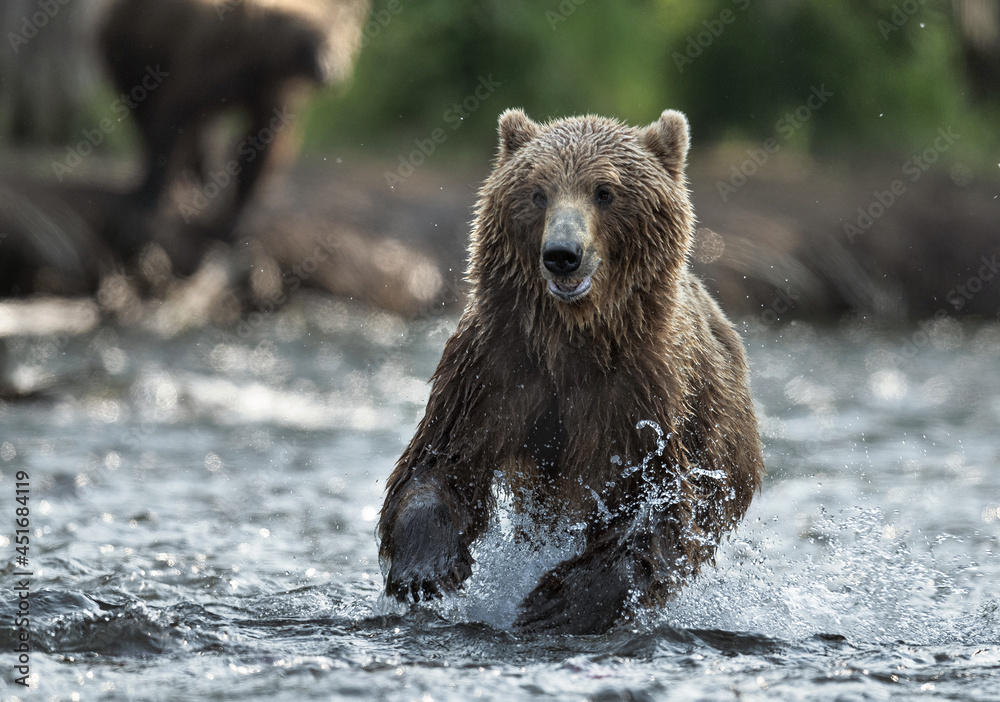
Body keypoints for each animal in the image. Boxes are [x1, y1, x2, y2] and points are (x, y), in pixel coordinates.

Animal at [378, 108, 765, 635]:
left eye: (605, 191)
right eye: (538, 191)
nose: (562, 253)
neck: (572, 338)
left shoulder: (644, 395)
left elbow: (659, 507)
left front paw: (557, 602)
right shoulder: (492, 370)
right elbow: (442, 460)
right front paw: (426, 569)